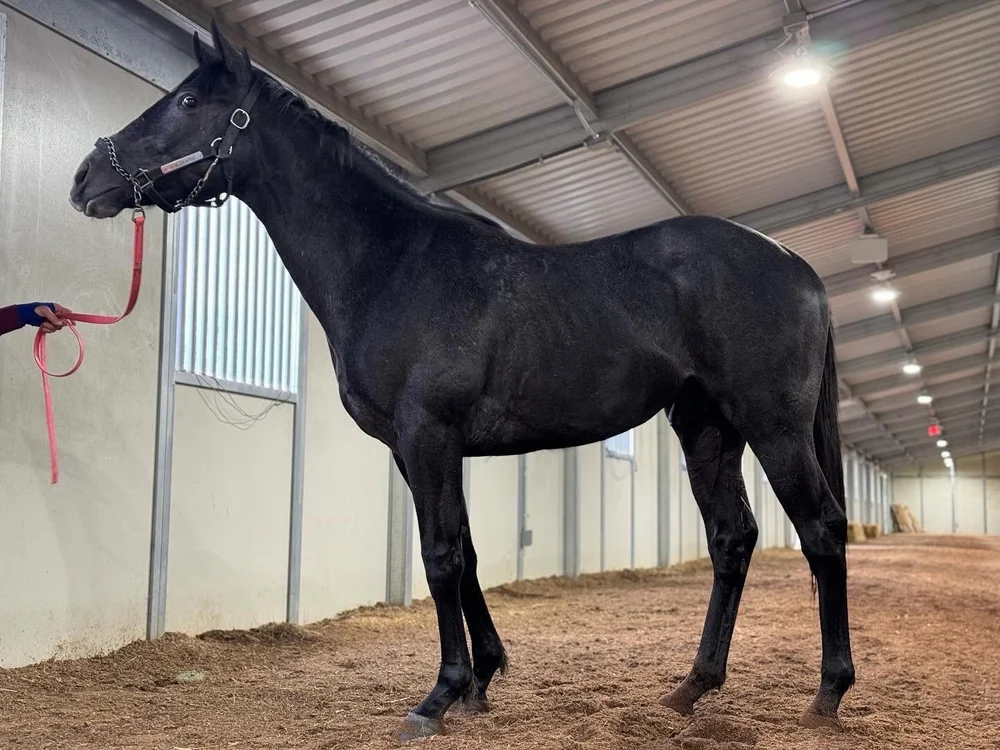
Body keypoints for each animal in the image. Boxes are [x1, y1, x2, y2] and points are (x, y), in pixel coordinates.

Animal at [69, 23, 855, 741]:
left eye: (187, 100)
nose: (84, 180)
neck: (392, 263)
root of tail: (795, 263)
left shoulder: (428, 435)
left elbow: (440, 556)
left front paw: (438, 696)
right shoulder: (418, 448)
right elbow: (467, 552)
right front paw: (482, 680)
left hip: (773, 426)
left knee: (820, 528)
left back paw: (826, 695)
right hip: (707, 429)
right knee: (733, 538)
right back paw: (691, 688)